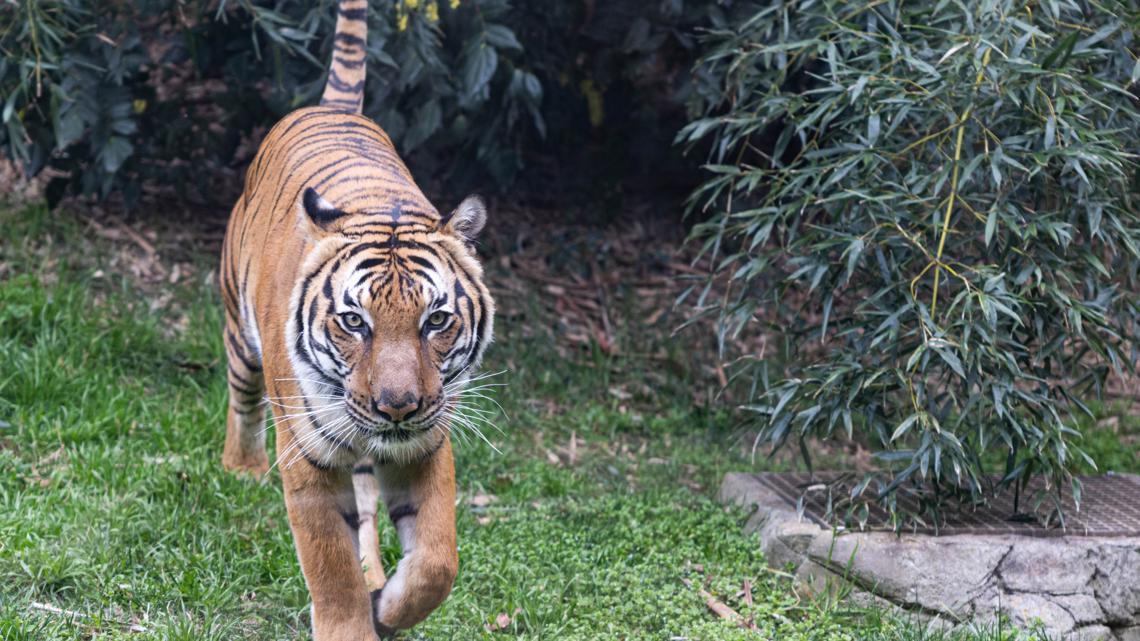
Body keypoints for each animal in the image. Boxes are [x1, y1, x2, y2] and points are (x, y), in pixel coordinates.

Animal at [217, 0, 494, 637]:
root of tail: (333, 109)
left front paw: (388, 609)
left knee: (367, 506)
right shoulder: (306, 458)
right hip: (240, 336)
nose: (397, 407)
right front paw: (352, 620)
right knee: (242, 398)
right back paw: (240, 468)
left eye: (436, 321)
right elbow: (329, 564)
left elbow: (437, 559)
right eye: (354, 322)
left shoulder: (426, 443)